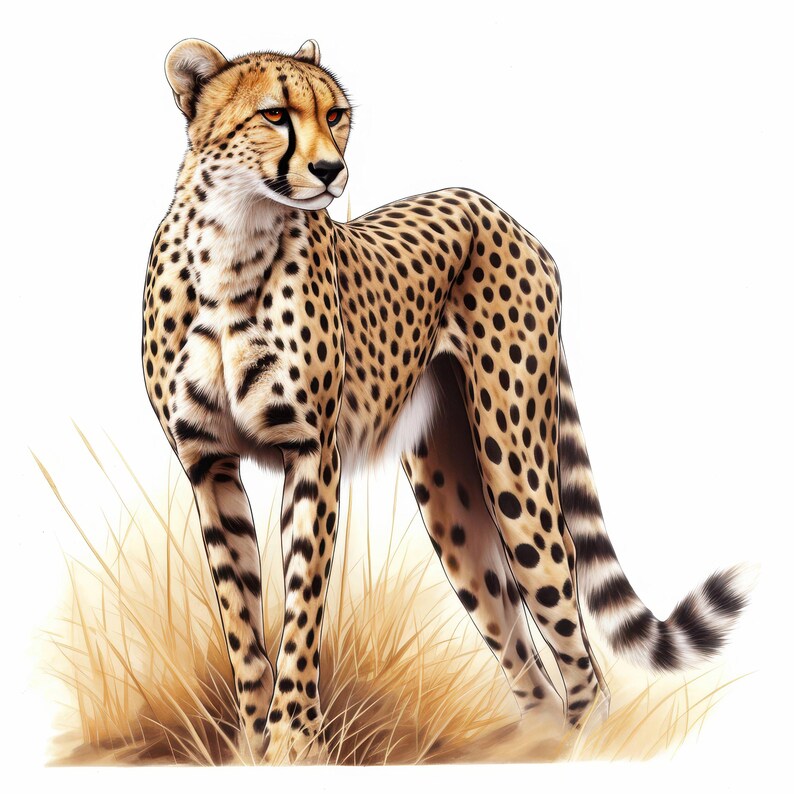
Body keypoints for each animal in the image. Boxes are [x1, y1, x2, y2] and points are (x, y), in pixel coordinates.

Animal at [142, 38, 748, 763]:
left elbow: (301, 606)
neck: (233, 239)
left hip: (515, 472)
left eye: (336, 113)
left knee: (574, 642)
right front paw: (253, 745)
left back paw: (582, 744)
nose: (330, 169)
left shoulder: (312, 456)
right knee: (525, 661)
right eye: (275, 114)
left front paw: (293, 742)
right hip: (450, 496)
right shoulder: (207, 465)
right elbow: (240, 616)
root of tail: (490, 206)